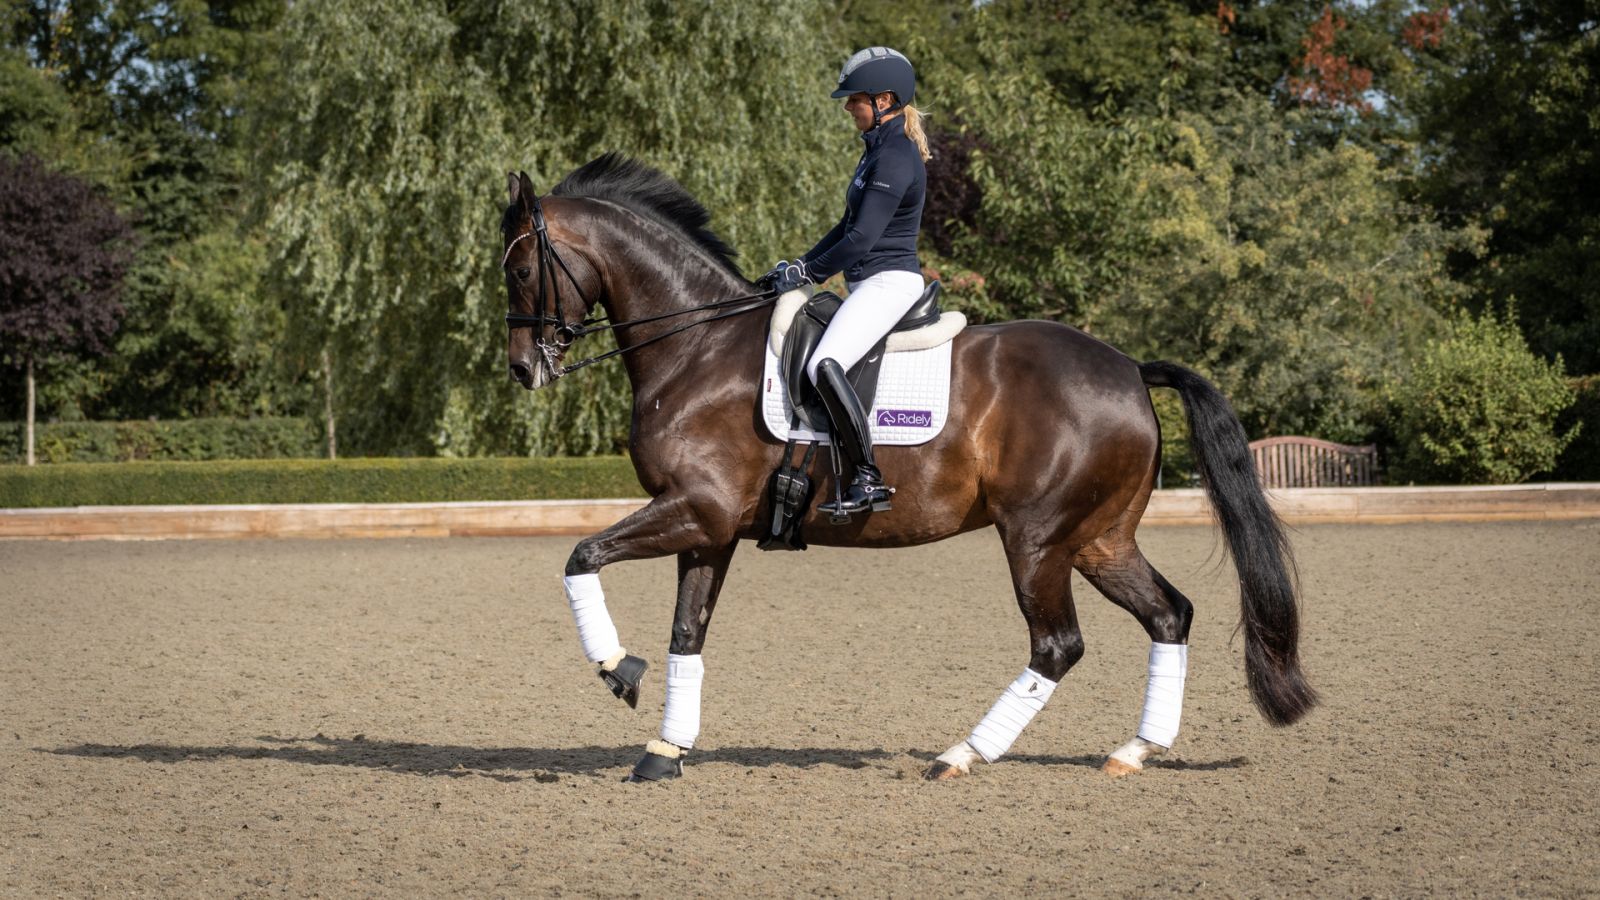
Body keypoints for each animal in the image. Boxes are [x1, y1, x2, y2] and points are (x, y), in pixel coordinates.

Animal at [500, 154, 1315, 783]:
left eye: (520, 269)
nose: (522, 369)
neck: (695, 345)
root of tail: (1128, 369)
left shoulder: (694, 509)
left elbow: (580, 558)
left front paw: (618, 670)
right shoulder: (710, 529)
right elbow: (686, 635)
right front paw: (666, 750)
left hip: (1038, 541)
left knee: (1058, 644)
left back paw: (962, 755)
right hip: (1098, 539)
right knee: (1168, 614)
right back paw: (1136, 750)